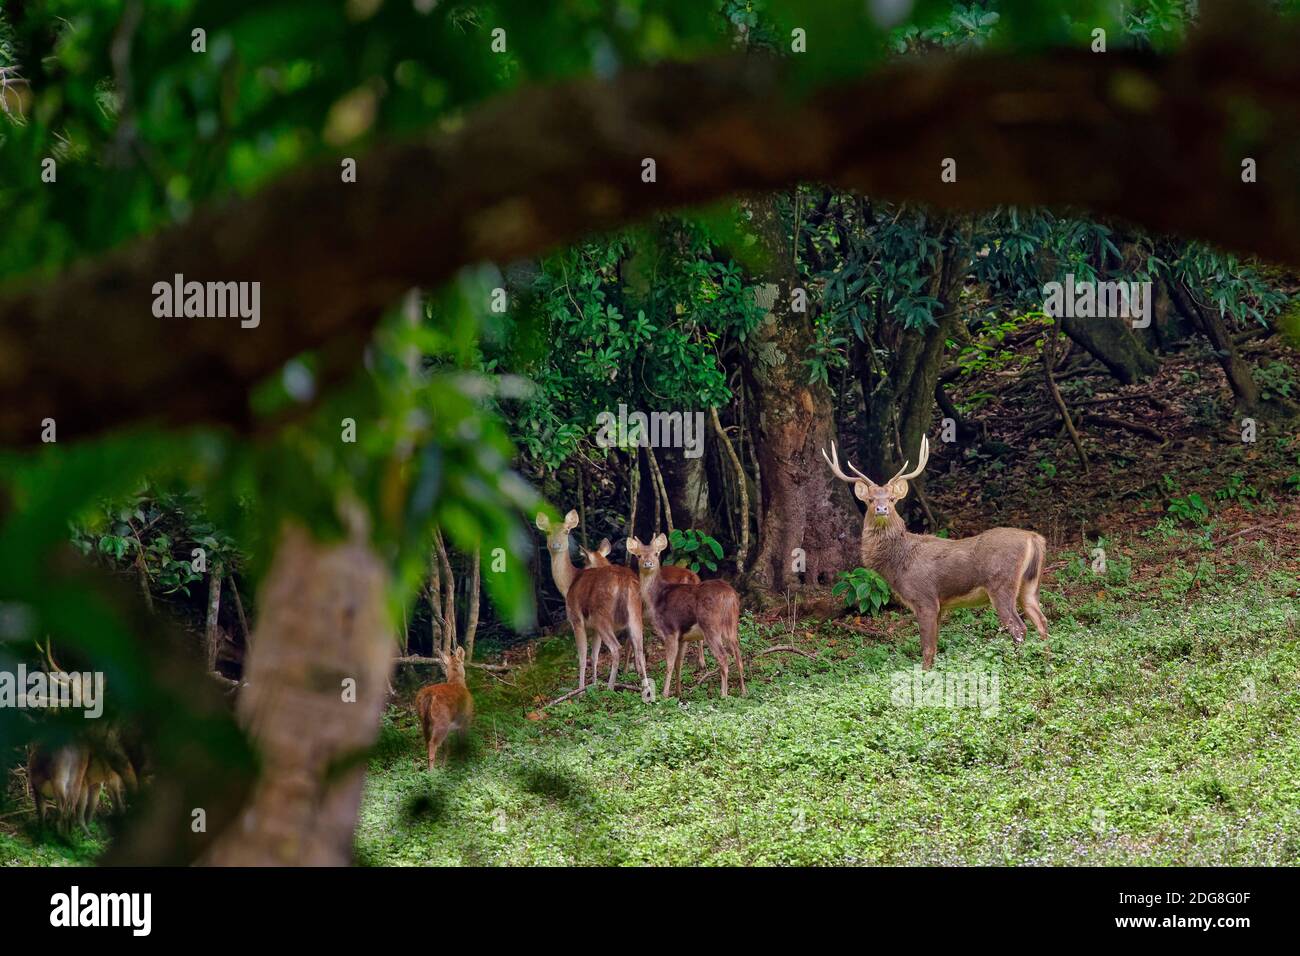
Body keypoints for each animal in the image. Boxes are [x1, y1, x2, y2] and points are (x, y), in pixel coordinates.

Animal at [536, 510, 655, 700]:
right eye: (547, 531)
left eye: (566, 531)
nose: (555, 545)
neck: (569, 584)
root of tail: (625, 580)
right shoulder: (594, 628)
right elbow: (595, 655)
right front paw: (593, 684)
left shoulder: (576, 619)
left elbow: (583, 656)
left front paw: (580, 691)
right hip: (635, 614)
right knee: (639, 649)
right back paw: (646, 691)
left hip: (602, 616)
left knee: (616, 648)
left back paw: (610, 688)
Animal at [626, 534, 745, 699]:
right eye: (639, 555)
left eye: (656, 553)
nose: (648, 563)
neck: (656, 598)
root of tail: (730, 596)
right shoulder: (683, 637)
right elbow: (679, 663)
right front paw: (678, 692)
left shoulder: (670, 630)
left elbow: (669, 664)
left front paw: (665, 694)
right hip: (731, 625)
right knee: (738, 655)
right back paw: (743, 691)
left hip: (710, 626)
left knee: (724, 657)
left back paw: (723, 694)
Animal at [822, 435, 1049, 670]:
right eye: (870, 500)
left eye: (892, 499)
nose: (881, 509)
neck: (897, 564)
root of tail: (1034, 539)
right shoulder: (940, 605)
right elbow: (936, 647)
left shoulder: (925, 598)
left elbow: (927, 649)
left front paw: (924, 674)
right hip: (1030, 585)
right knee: (1042, 622)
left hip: (1001, 583)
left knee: (1019, 628)